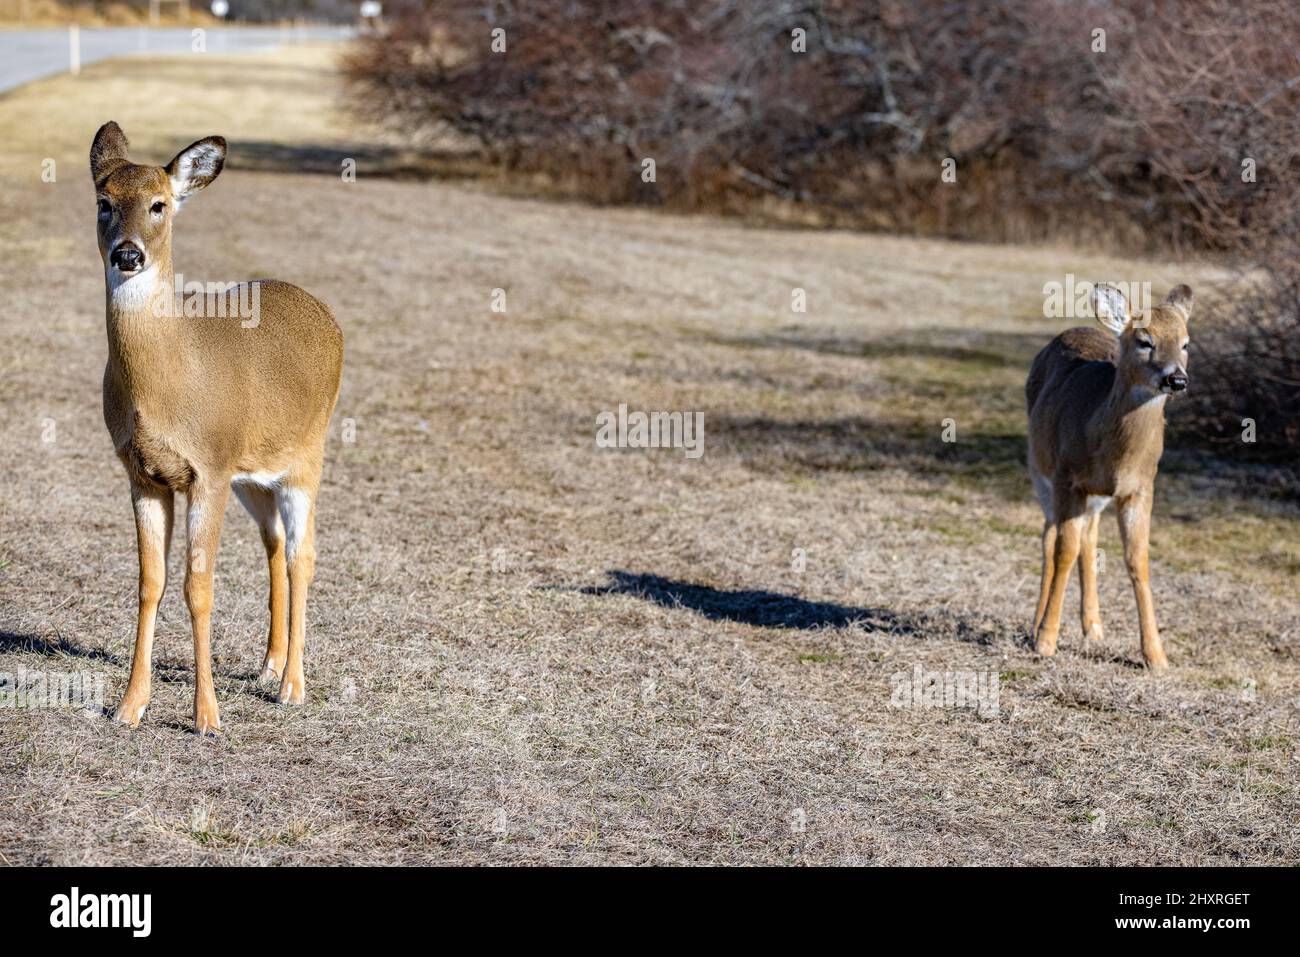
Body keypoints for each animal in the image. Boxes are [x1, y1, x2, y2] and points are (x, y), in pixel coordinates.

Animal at [90, 121, 343, 734]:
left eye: (159, 204)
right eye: (104, 202)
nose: (128, 253)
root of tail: (327, 316)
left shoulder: (207, 466)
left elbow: (198, 587)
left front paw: (206, 715)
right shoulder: (144, 474)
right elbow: (150, 583)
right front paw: (129, 706)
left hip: (307, 455)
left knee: (303, 553)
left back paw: (293, 685)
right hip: (251, 475)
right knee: (273, 542)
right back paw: (268, 666)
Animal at [1026, 282, 1192, 671]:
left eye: (1186, 343)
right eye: (1145, 341)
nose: (1176, 379)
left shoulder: (1140, 487)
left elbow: (1137, 559)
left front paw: (1156, 656)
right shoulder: (1067, 478)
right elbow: (1064, 551)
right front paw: (1046, 641)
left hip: (1095, 497)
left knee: (1088, 538)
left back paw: (1094, 627)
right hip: (1040, 468)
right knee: (1050, 536)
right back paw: (1036, 623)